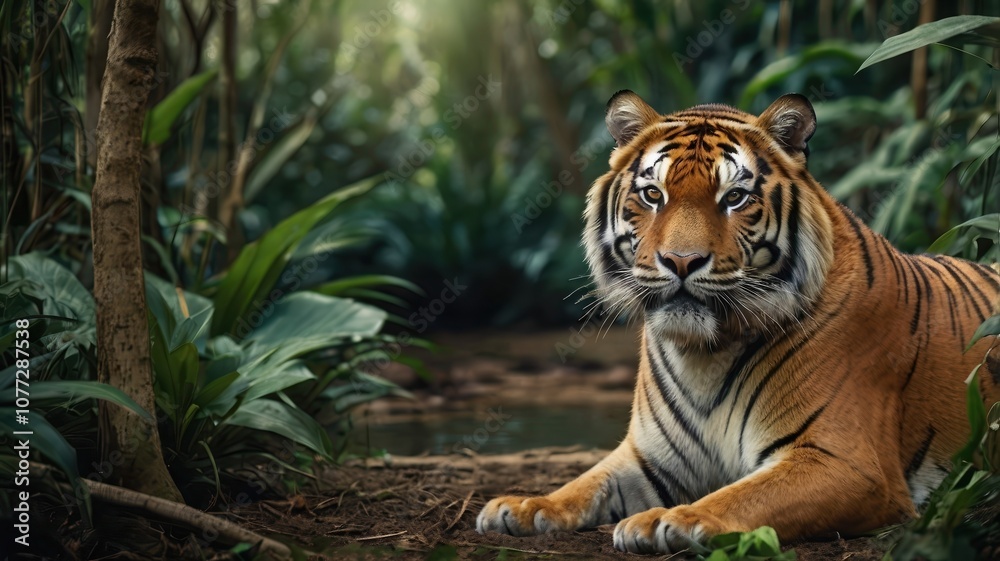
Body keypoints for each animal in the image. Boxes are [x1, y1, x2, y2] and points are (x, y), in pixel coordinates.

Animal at [476, 91, 1000, 554]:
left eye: (734, 198)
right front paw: (523, 506)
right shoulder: (650, 458)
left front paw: (667, 519)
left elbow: (745, 495)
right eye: (652, 194)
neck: (703, 352)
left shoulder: (844, 461)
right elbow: (586, 483)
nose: (681, 261)